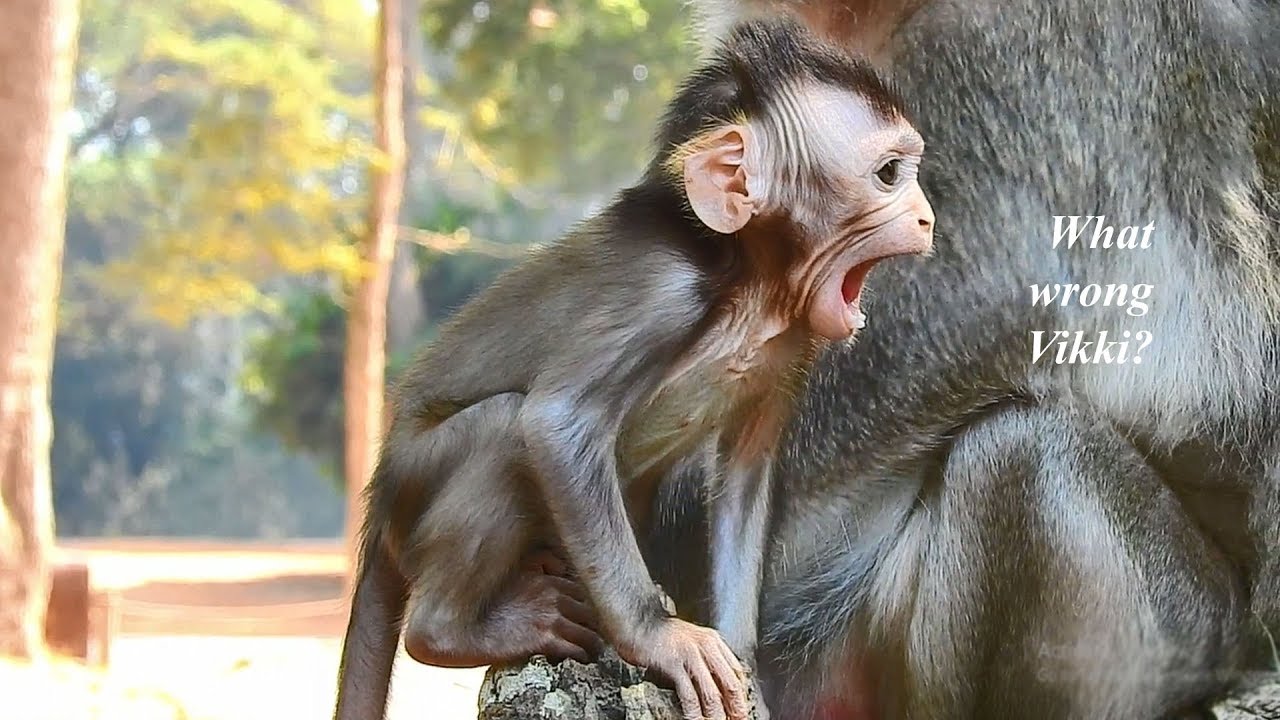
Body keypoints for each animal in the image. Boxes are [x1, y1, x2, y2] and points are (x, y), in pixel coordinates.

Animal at [333, 18, 935, 720]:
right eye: (889, 174)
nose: (927, 217)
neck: (747, 283)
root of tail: (378, 504)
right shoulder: (661, 292)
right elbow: (556, 422)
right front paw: (662, 638)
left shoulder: (793, 343)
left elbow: (744, 475)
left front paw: (743, 662)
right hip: (418, 477)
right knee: (506, 428)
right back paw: (449, 631)